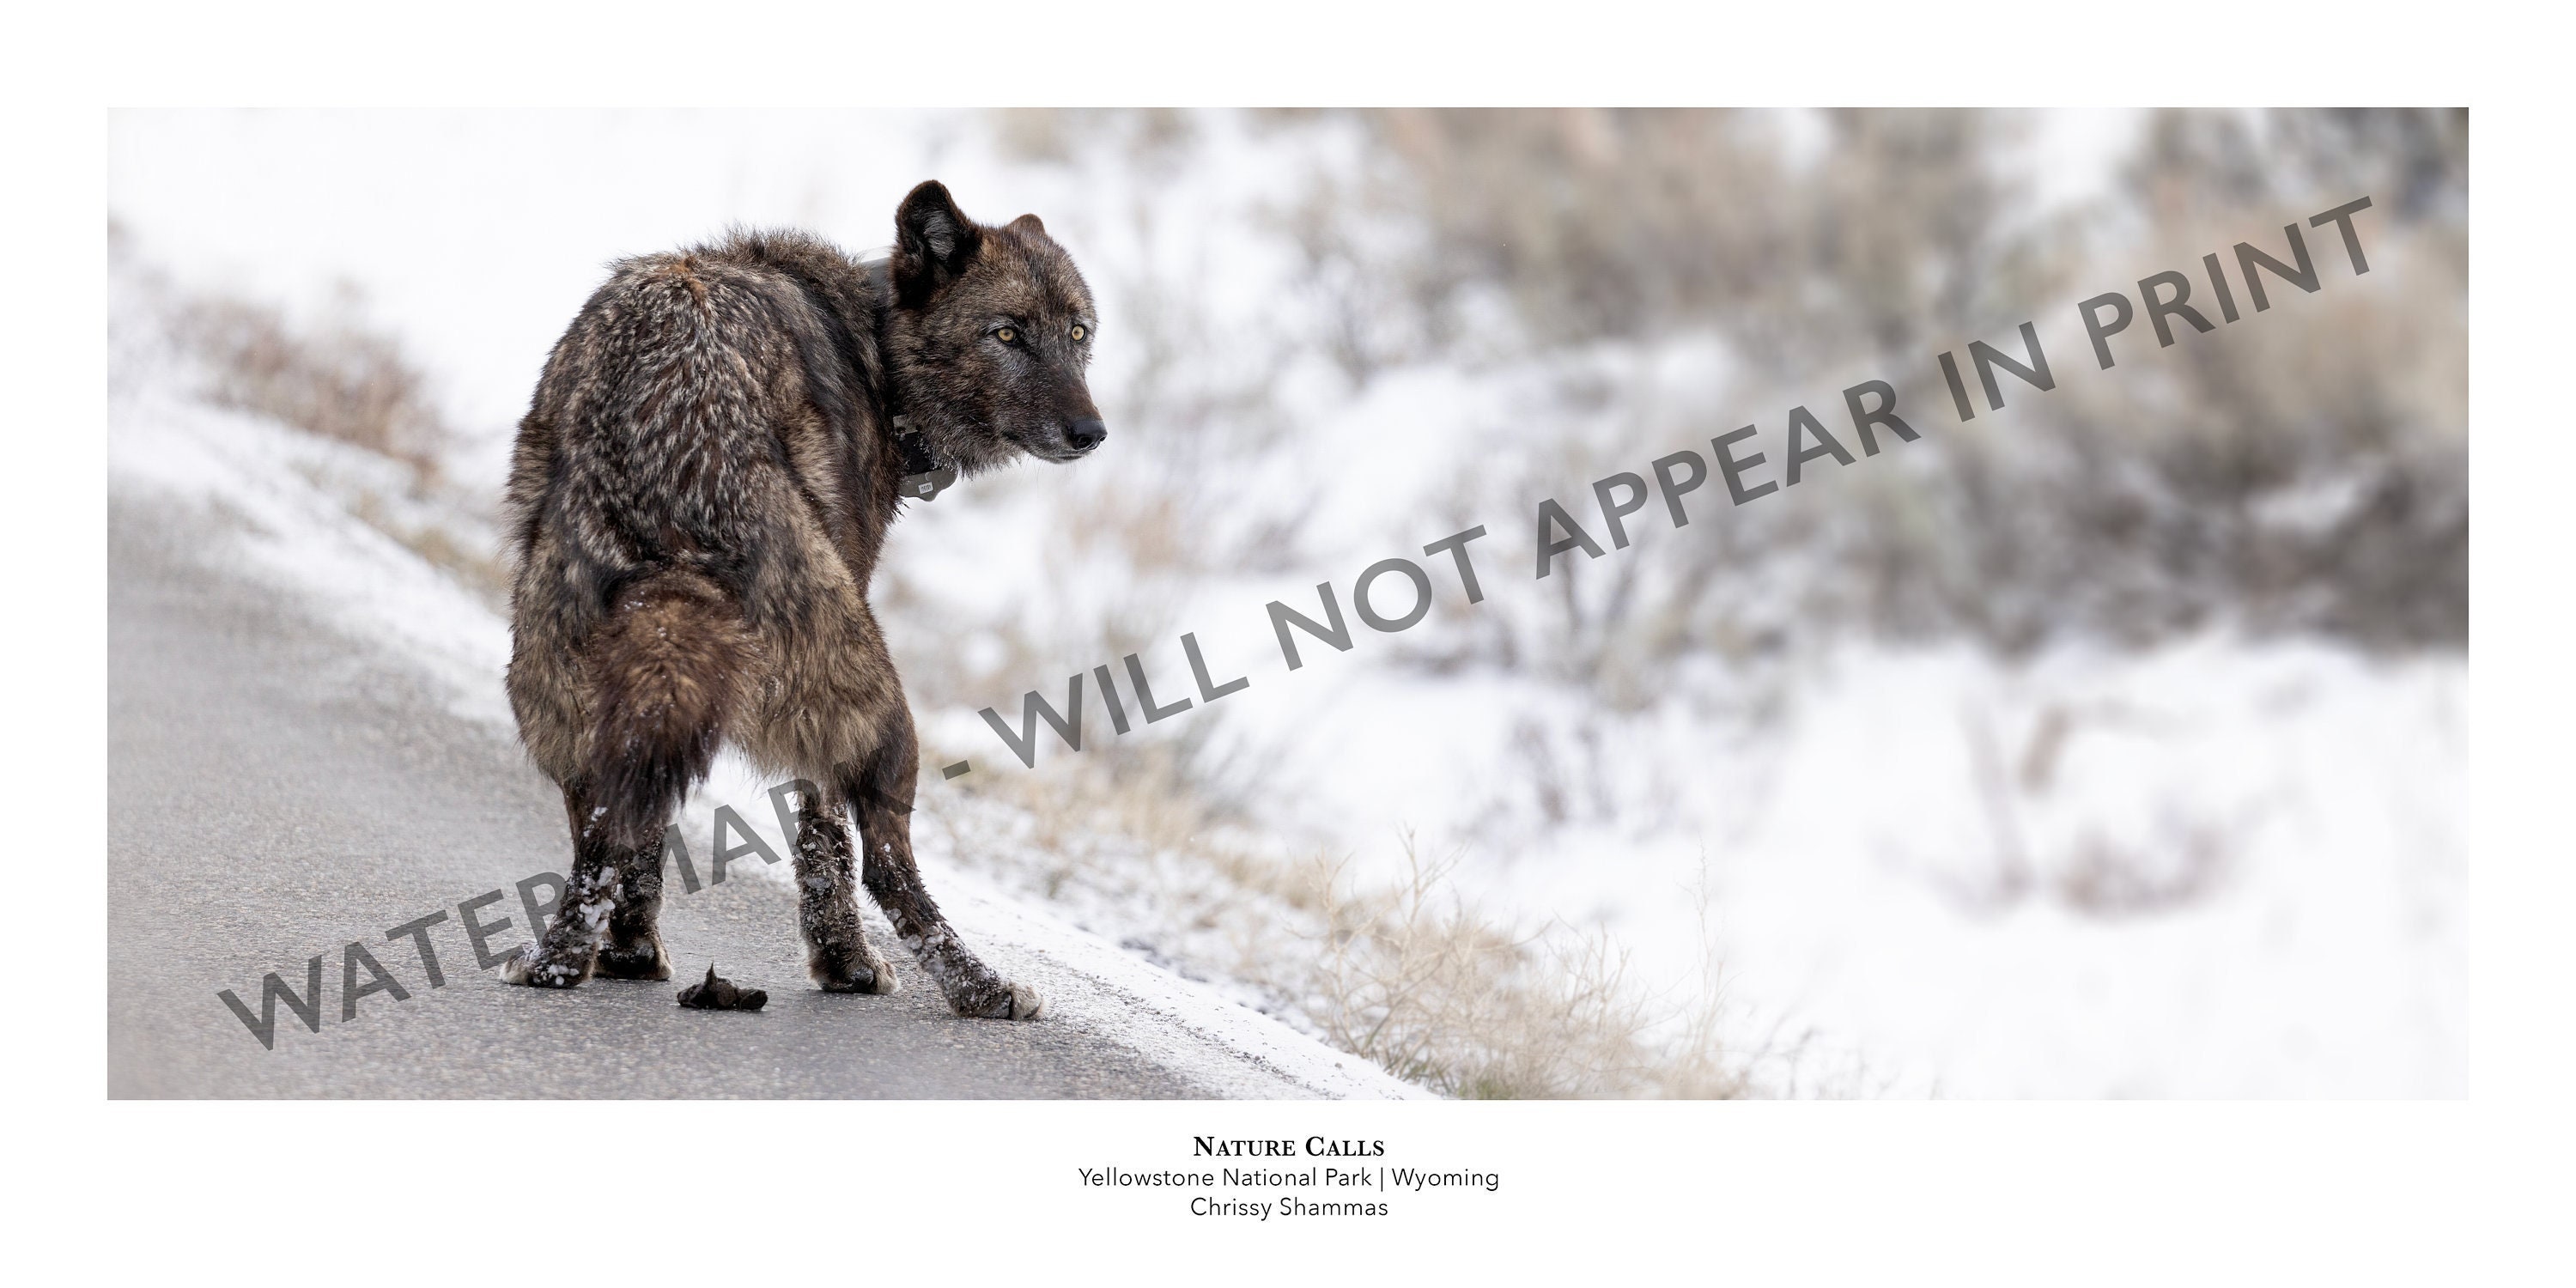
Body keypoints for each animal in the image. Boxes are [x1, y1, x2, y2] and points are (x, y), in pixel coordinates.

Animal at [496, 181, 1103, 1019]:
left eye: (1078, 332)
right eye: (1007, 333)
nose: (1091, 431)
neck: (876, 353)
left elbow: (647, 836)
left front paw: (630, 952)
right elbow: (826, 843)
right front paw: (846, 967)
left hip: (561, 697)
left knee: (606, 828)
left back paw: (574, 956)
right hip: (879, 706)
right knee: (887, 865)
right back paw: (980, 989)